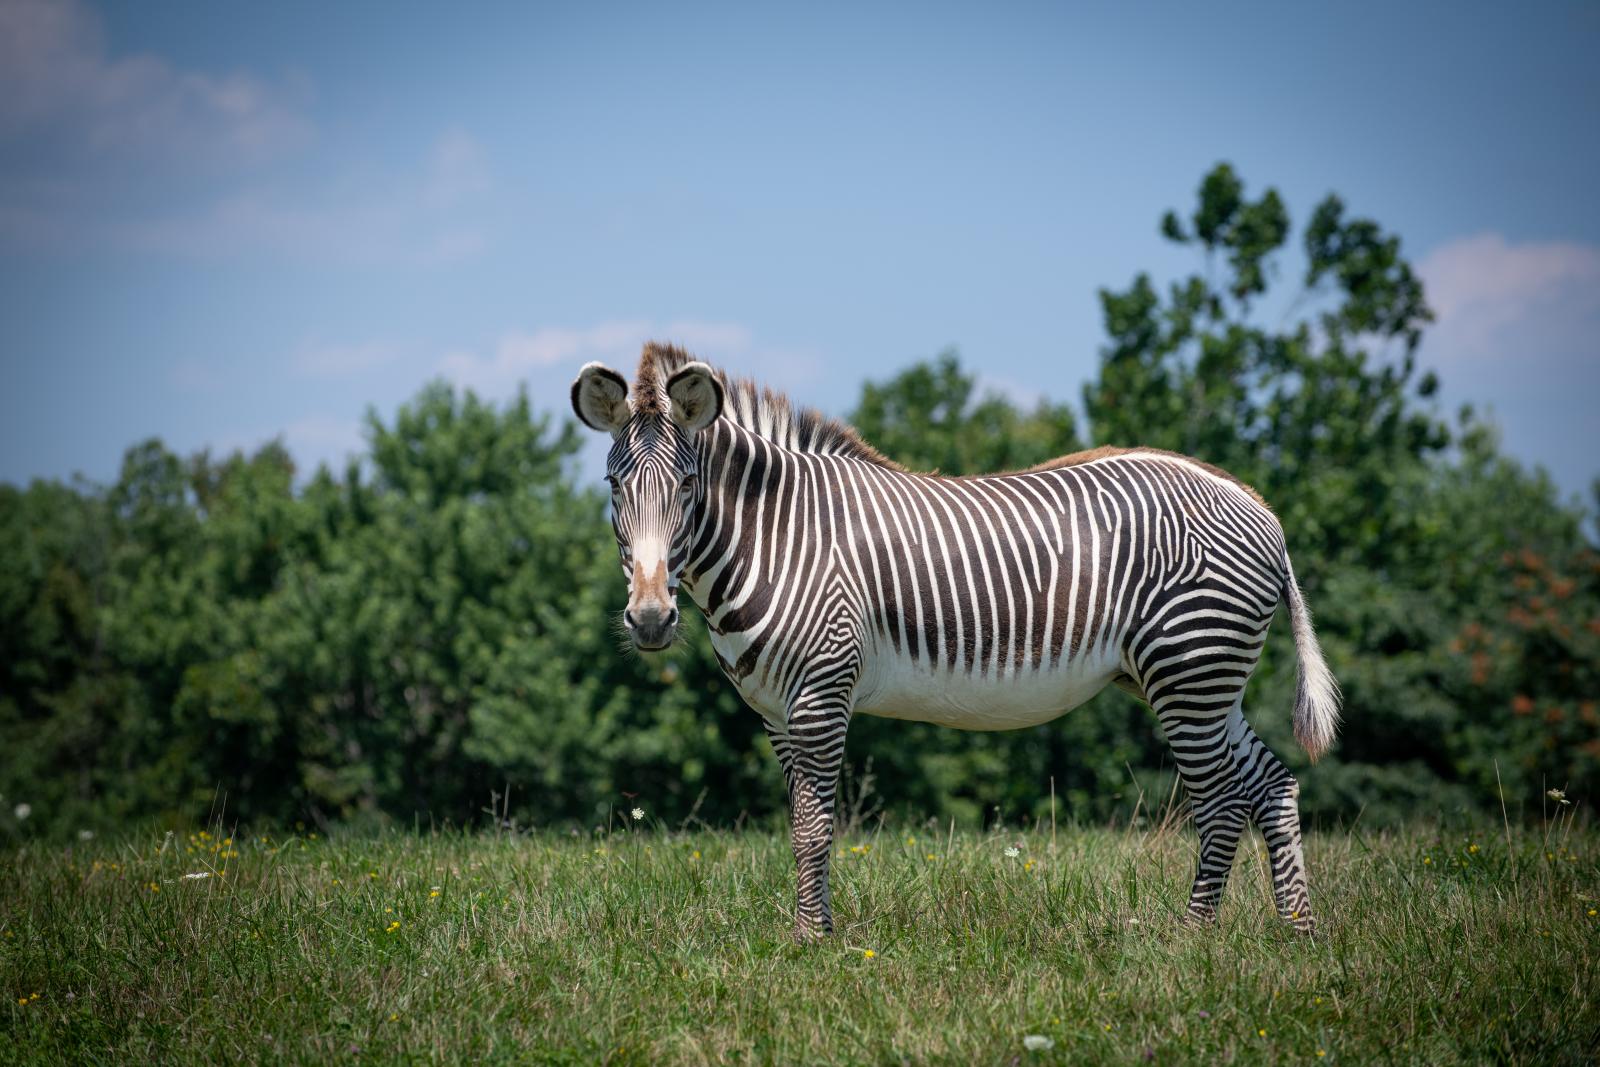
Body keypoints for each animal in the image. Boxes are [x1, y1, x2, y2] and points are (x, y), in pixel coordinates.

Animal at [572, 343, 1340, 941]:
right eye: (613, 486)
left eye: (687, 485)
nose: (650, 620)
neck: (774, 536)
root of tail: (1254, 501)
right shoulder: (777, 712)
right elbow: (802, 823)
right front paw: (817, 929)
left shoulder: (821, 692)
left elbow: (814, 826)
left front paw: (809, 944)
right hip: (1208, 681)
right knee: (1269, 782)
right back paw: (1295, 930)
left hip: (1189, 669)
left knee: (1218, 800)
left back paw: (1192, 935)